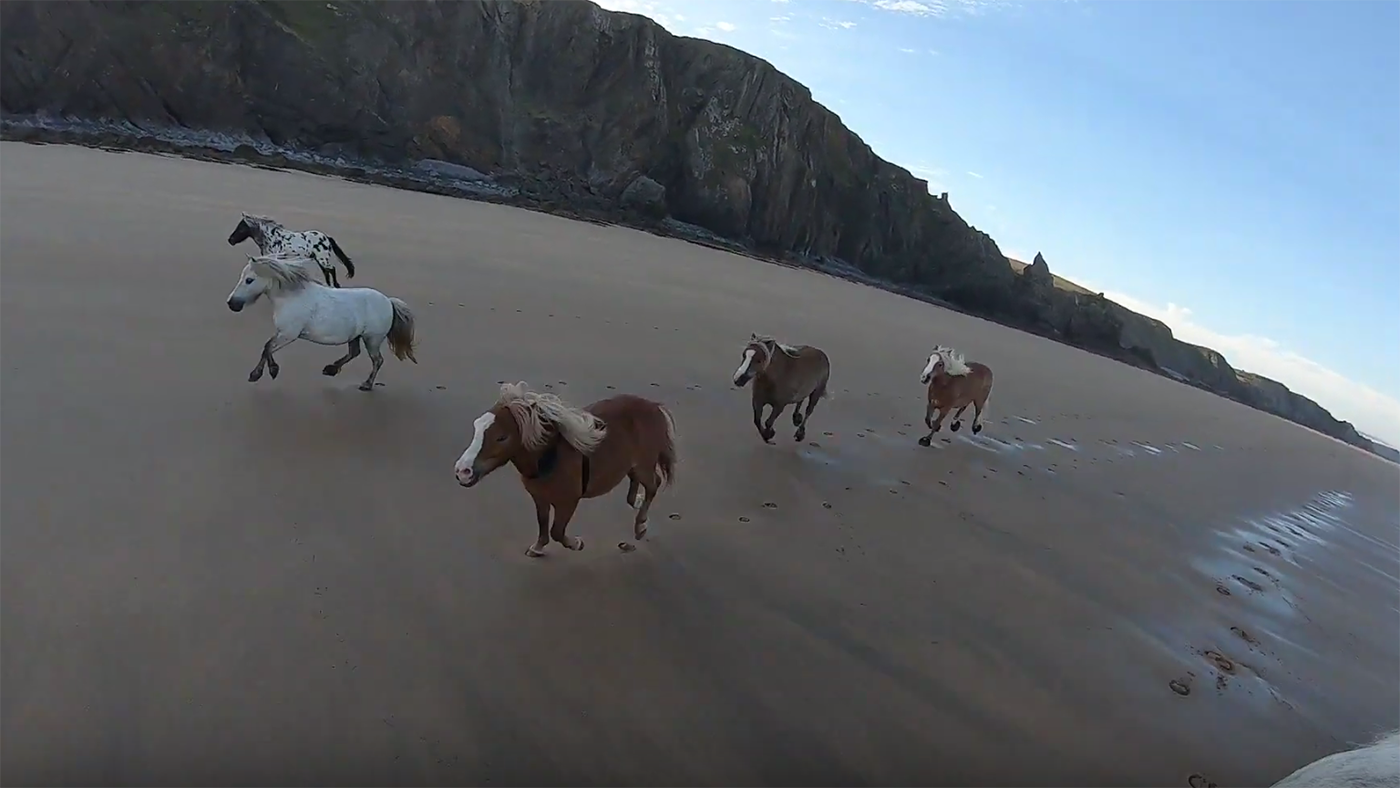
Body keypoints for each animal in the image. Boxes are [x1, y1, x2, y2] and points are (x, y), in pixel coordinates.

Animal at [225, 253, 417, 391]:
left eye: (249, 280)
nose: (231, 303)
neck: (291, 297)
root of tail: (389, 302)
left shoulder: (288, 334)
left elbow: (267, 348)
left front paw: (260, 373)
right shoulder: (283, 333)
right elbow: (268, 348)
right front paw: (268, 371)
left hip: (372, 339)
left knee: (377, 360)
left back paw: (366, 385)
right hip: (355, 336)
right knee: (354, 352)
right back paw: (331, 369)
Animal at [227, 212, 357, 288]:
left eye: (241, 228)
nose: (230, 240)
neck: (272, 239)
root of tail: (327, 238)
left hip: (323, 259)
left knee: (331, 269)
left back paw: (335, 285)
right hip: (320, 260)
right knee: (326, 272)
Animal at [453, 382, 678, 558]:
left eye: (501, 437)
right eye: (476, 426)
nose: (463, 471)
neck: (548, 456)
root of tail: (654, 406)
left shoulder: (568, 502)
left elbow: (557, 531)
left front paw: (576, 543)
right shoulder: (539, 498)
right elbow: (543, 523)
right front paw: (538, 547)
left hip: (643, 465)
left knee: (653, 485)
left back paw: (640, 526)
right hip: (632, 466)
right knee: (637, 485)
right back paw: (636, 504)